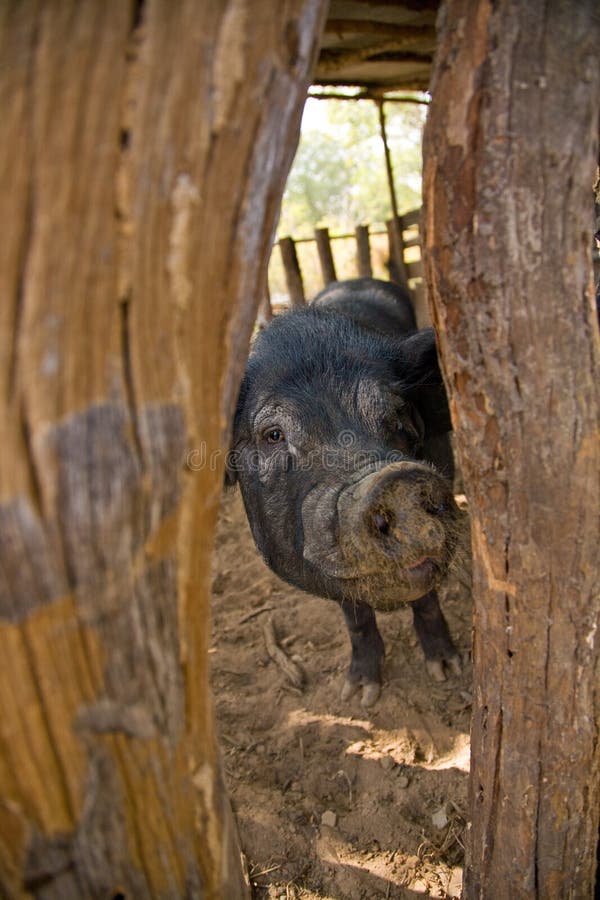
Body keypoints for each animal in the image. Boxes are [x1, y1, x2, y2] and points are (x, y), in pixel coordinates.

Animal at [227, 278, 465, 706]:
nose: (393, 480)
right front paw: (358, 694)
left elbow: (426, 596)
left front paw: (446, 670)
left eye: (399, 411)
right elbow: (354, 617)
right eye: (273, 435)